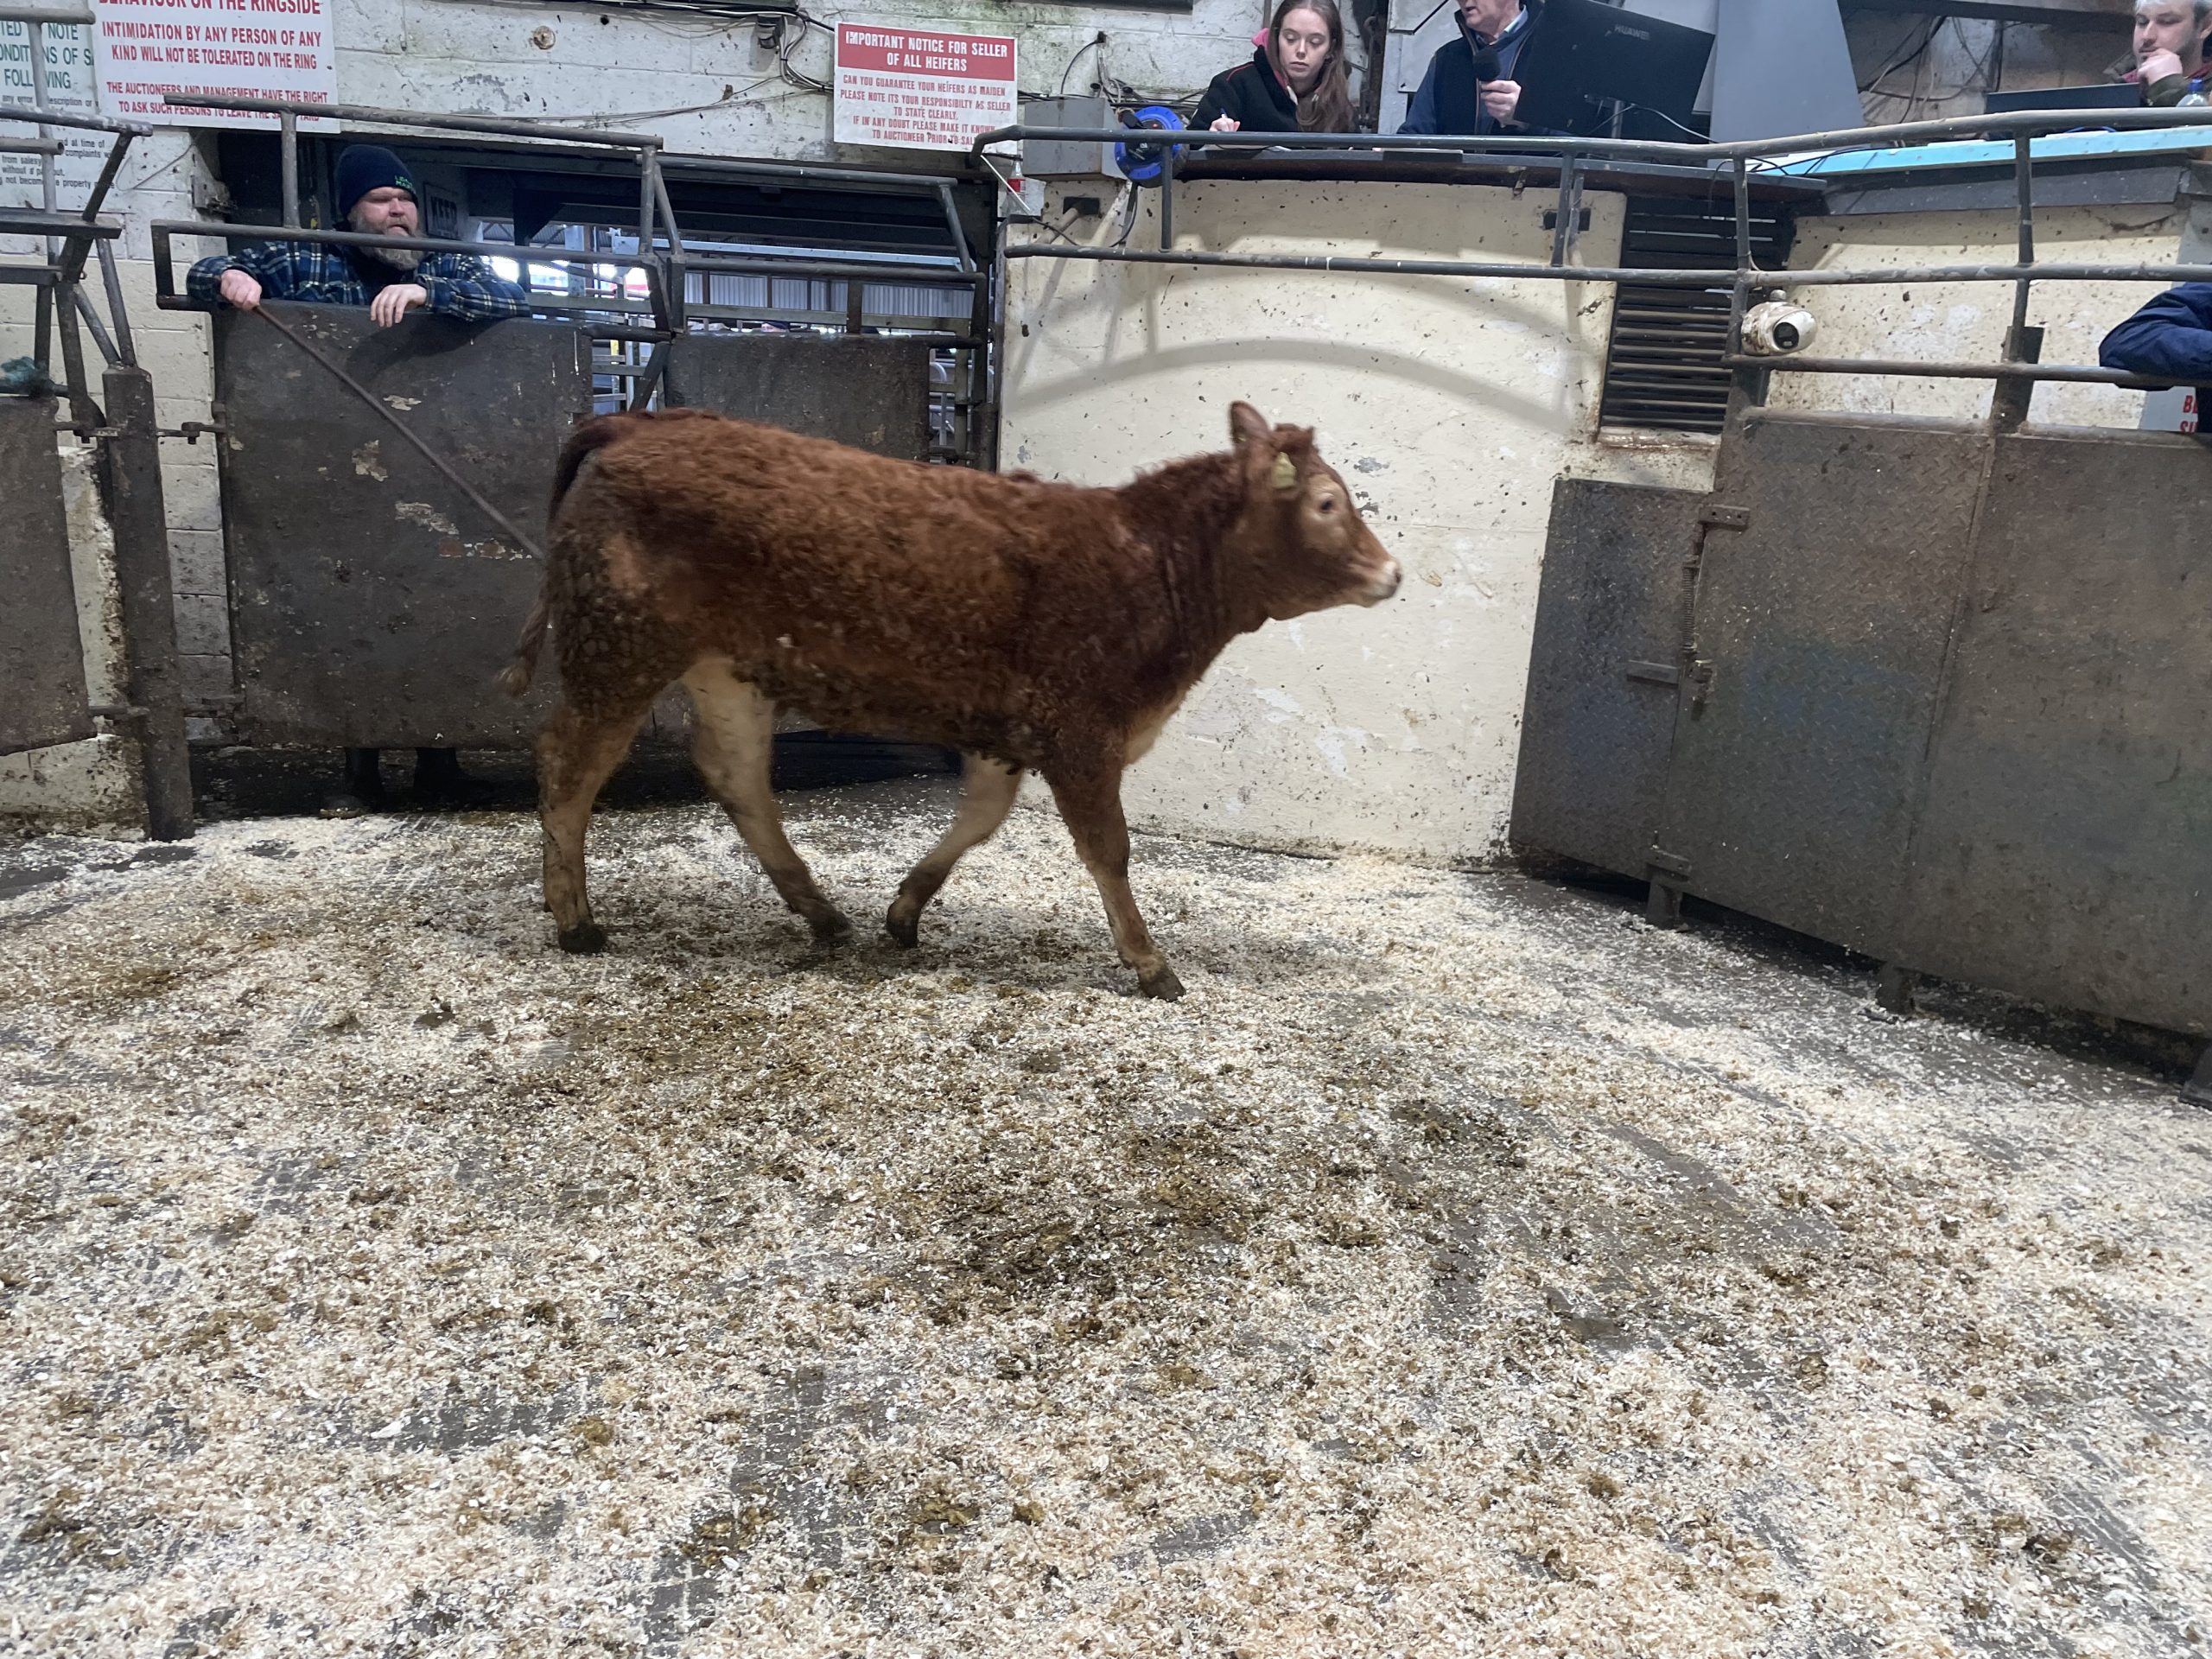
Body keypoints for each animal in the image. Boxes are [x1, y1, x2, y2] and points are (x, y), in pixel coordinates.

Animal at [500, 401, 1400, 1000]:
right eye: (1327, 504)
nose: (1392, 573)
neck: (1147, 565)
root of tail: (633, 422)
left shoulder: (1008, 727)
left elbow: (980, 819)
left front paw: (905, 910)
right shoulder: (1082, 731)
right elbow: (1109, 851)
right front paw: (1149, 962)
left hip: (725, 667)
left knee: (736, 775)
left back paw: (819, 910)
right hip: (618, 648)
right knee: (568, 766)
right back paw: (576, 919)